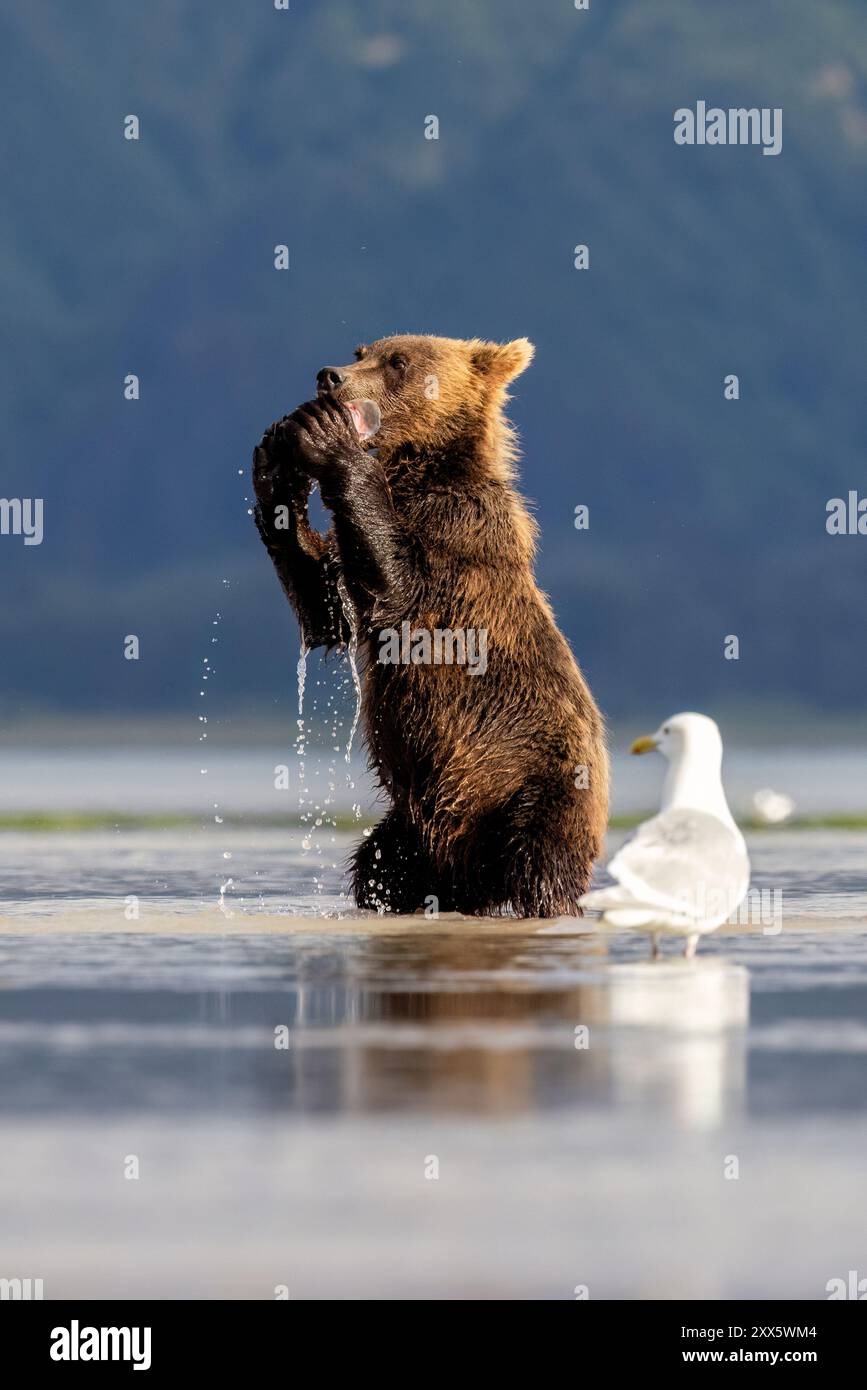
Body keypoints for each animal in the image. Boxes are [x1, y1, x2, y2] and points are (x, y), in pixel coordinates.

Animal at [252, 334, 609, 917]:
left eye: (397, 362)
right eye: (361, 351)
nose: (330, 376)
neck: (423, 473)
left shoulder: (455, 537)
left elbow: (397, 587)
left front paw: (328, 437)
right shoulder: (350, 563)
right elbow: (326, 615)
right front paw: (274, 463)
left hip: (534, 788)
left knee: (539, 866)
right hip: (414, 824)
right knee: (380, 865)